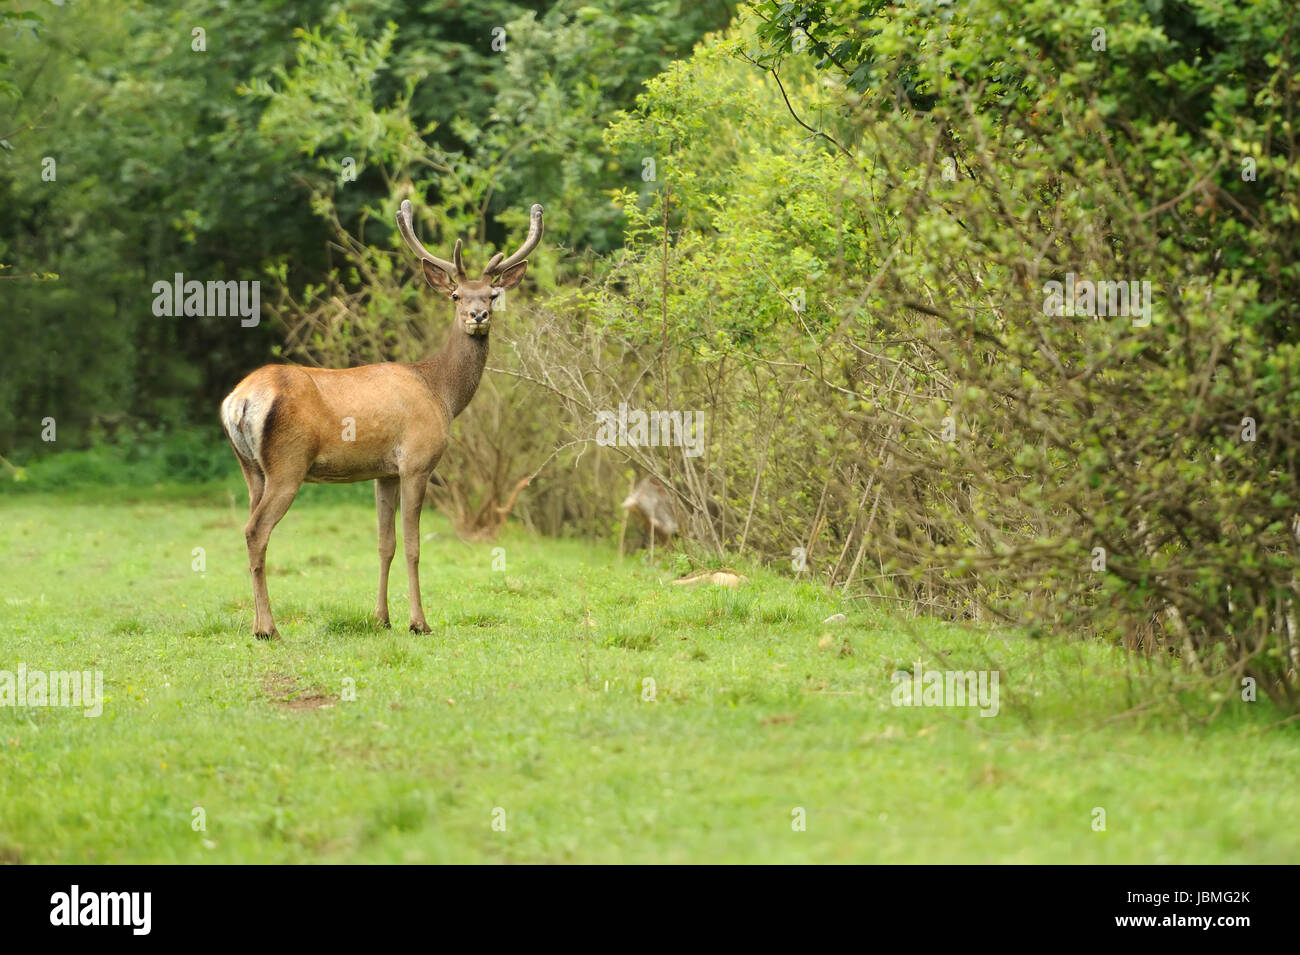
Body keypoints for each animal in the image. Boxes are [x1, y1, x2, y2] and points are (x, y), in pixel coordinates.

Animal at [220, 199, 543, 638]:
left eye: (492, 294)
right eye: (456, 295)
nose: (478, 316)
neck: (441, 392)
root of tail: (239, 400)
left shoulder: (383, 472)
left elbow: (384, 544)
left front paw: (381, 617)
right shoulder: (417, 462)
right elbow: (413, 545)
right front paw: (419, 622)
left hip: (250, 467)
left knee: (252, 527)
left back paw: (257, 623)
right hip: (288, 463)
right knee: (256, 530)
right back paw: (268, 628)